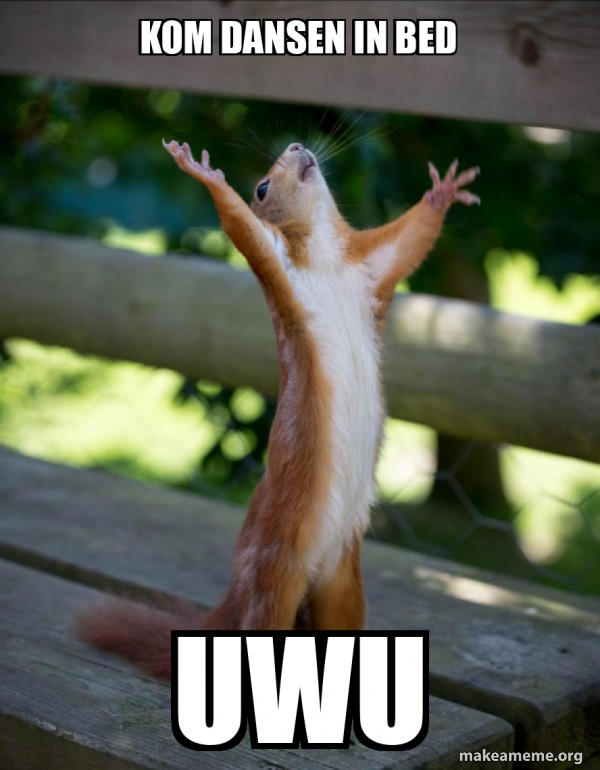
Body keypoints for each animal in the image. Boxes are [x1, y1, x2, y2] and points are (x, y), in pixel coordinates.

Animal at [77, 139, 479, 679]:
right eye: (262, 187)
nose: (296, 146)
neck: (327, 259)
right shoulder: (278, 266)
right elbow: (241, 227)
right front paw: (204, 173)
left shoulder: (372, 266)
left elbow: (410, 239)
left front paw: (442, 192)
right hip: (273, 577)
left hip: (344, 590)